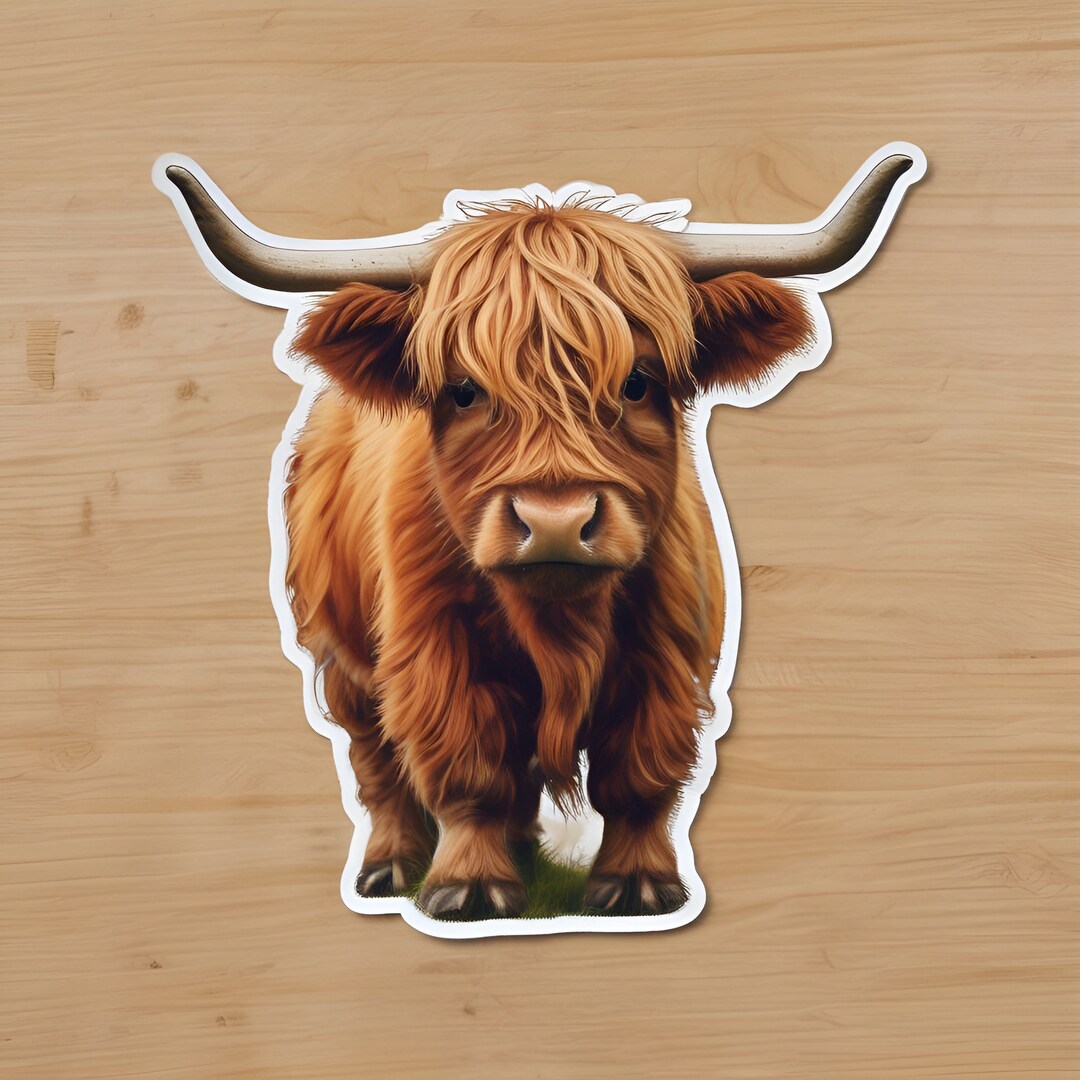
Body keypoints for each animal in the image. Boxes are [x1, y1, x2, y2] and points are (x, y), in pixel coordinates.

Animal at [157, 147, 924, 927]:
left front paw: (639, 885)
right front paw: (467, 887)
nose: (556, 522)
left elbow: (639, 772)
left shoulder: (668, 652)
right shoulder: (437, 651)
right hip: (338, 654)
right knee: (375, 760)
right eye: (464, 390)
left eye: (638, 382)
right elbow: (468, 769)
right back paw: (392, 866)